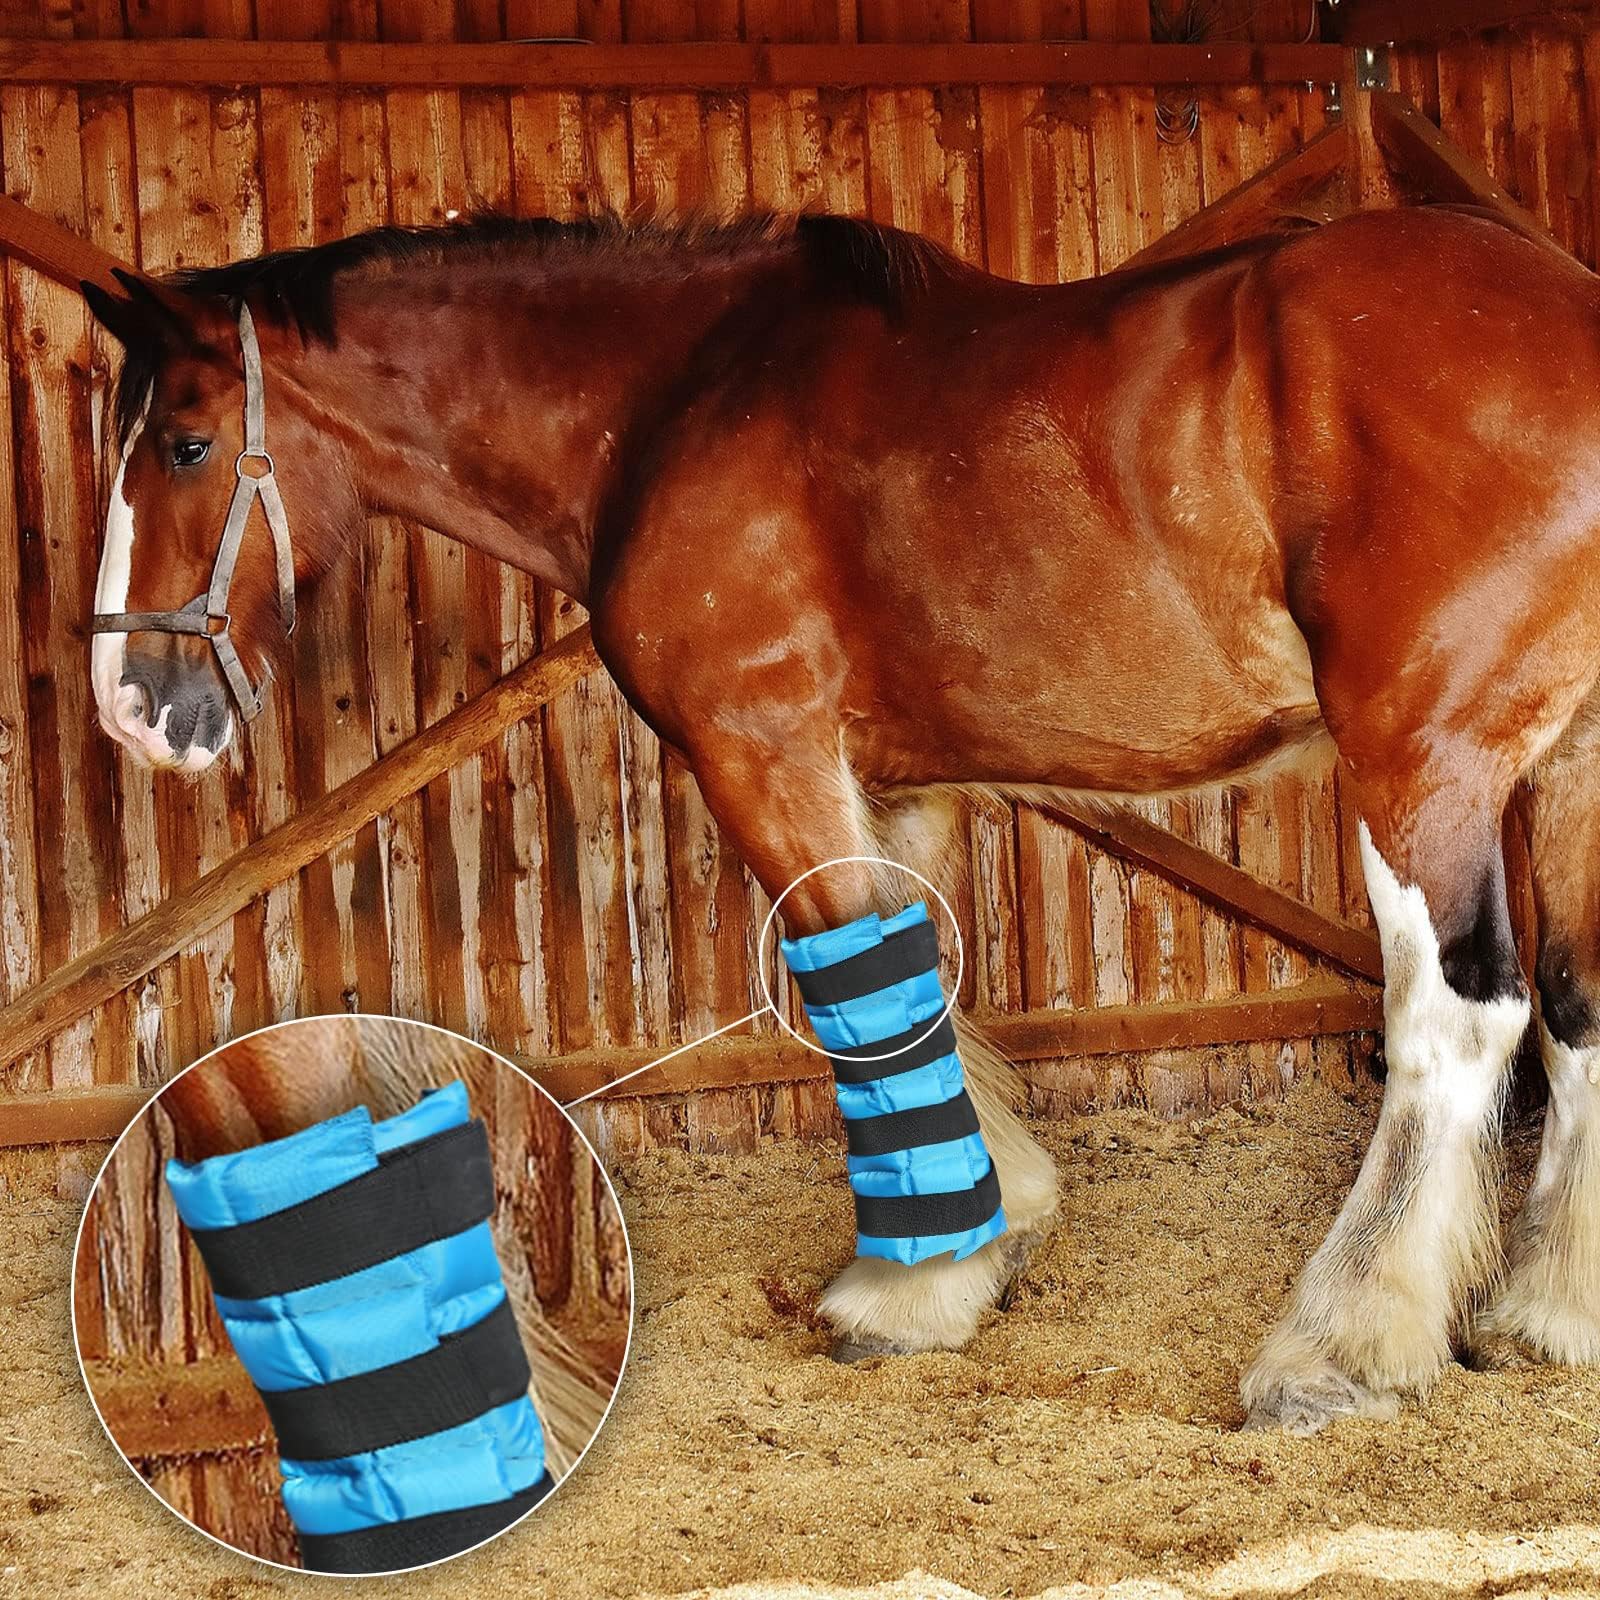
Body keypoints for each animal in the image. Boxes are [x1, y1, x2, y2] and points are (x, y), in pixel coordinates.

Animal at [81, 205, 1600, 1434]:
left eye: (189, 442)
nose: (128, 706)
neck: (679, 401)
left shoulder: (761, 751)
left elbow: (854, 988)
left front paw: (907, 1291)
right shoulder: (894, 779)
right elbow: (912, 973)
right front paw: (989, 1232)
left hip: (1420, 763)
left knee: (1459, 1018)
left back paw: (1340, 1345)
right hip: (1569, 761)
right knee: (1576, 999)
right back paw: (1551, 1312)